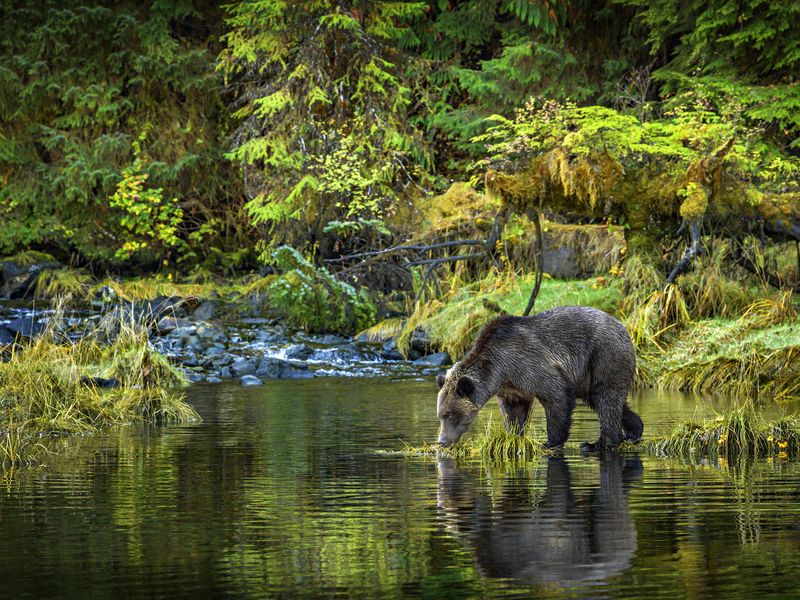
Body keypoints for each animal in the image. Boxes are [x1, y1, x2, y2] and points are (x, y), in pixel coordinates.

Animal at [435, 306, 642, 451]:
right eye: (440, 415)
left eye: (449, 414)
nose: (442, 441)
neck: (498, 371)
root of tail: (623, 328)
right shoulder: (511, 387)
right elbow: (514, 411)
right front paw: (515, 436)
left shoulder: (528, 364)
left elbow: (556, 395)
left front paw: (550, 442)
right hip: (589, 375)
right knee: (605, 401)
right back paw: (634, 431)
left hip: (604, 356)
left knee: (606, 398)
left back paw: (598, 443)